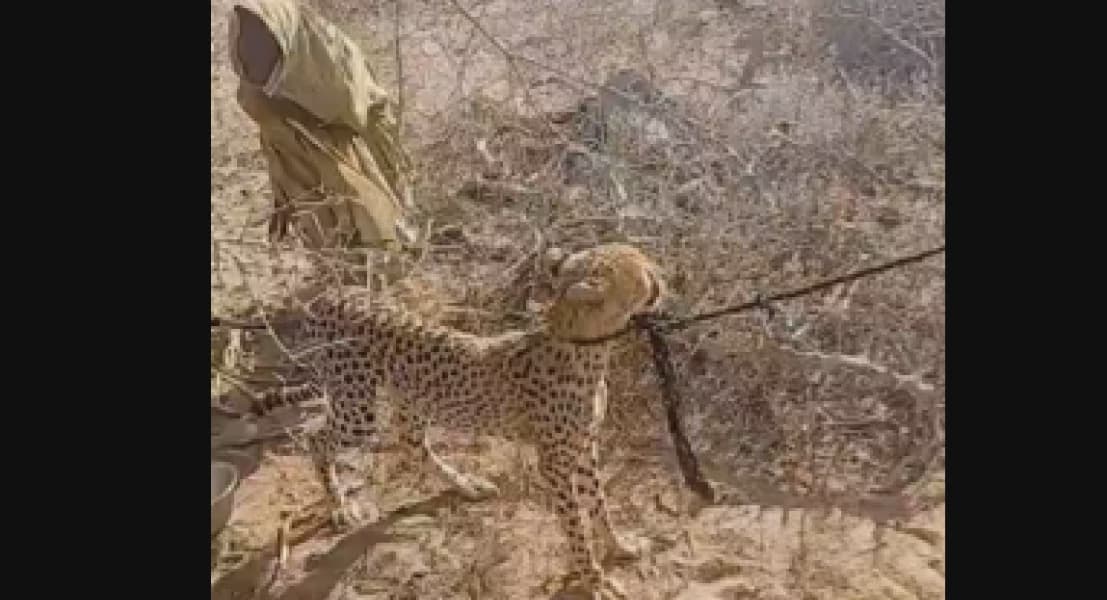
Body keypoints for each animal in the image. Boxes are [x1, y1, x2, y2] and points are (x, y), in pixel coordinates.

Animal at [246, 242, 665, 599]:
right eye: (641, 266)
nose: (661, 272)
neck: (586, 346)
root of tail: (329, 296)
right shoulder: (554, 463)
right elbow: (577, 526)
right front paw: (594, 579)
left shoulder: (583, 446)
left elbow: (599, 504)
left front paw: (619, 545)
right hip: (358, 406)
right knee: (317, 437)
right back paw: (340, 506)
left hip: (409, 399)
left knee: (412, 445)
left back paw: (466, 485)